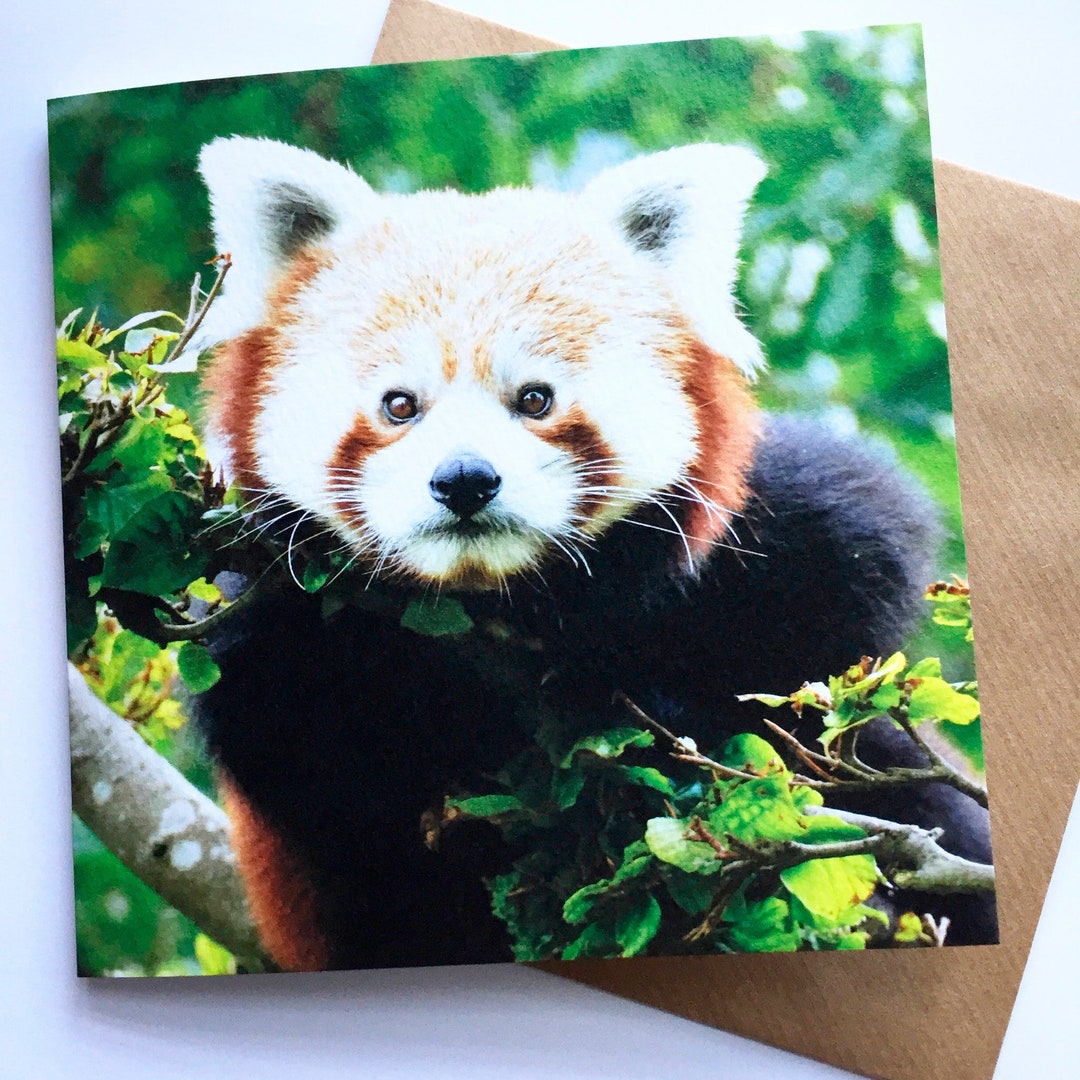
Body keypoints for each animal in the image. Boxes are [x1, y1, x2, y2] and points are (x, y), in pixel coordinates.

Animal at [192, 136, 996, 971]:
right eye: (399, 406)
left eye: (535, 399)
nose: (465, 479)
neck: (504, 599)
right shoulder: (260, 618)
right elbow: (311, 756)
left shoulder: (781, 524)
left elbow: (850, 597)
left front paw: (651, 707)